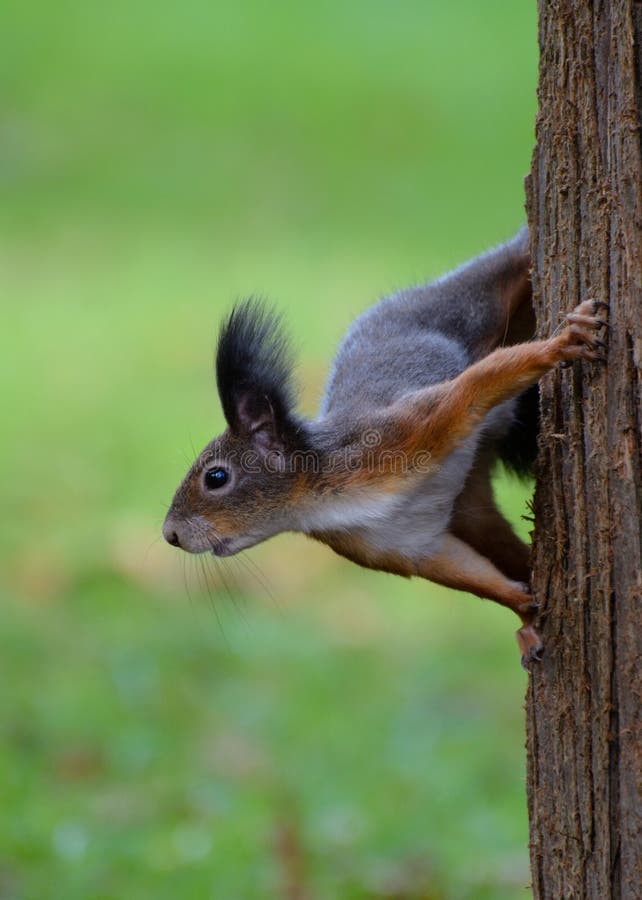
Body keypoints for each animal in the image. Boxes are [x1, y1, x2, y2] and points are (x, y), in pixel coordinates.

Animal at [162, 228, 607, 666]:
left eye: (216, 477)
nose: (170, 535)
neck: (324, 499)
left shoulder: (399, 434)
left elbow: (477, 386)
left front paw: (562, 344)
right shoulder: (400, 545)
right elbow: (461, 570)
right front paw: (524, 607)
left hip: (477, 305)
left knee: (505, 275)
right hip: (472, 503)